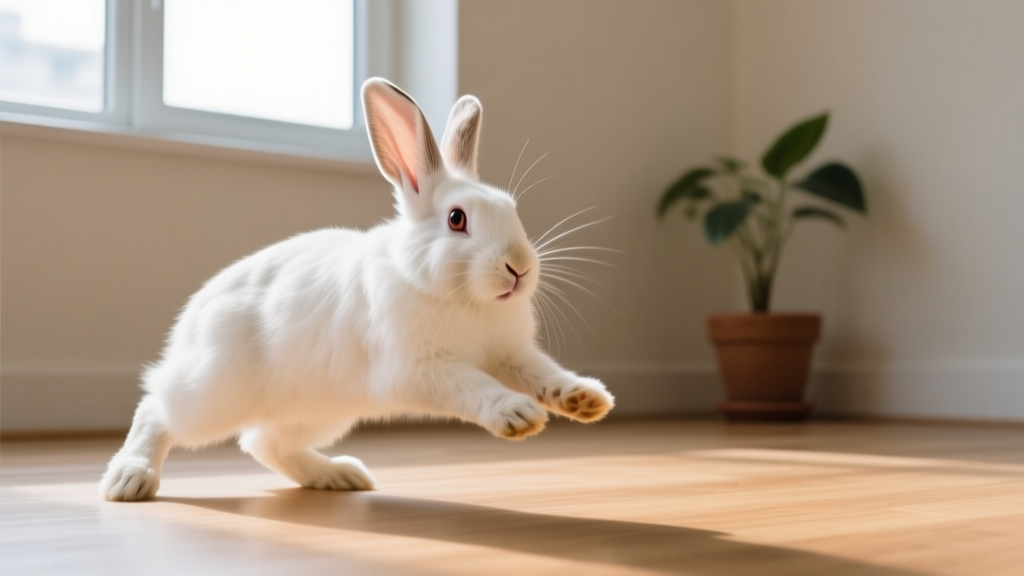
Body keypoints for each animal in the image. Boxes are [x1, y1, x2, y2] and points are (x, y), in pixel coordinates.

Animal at [99, 78, 615, 502]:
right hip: (213, 394)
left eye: (511, 209)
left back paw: (339, 475)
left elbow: (543, 373)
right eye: (456, 219)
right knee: (156, 411)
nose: (520, 268)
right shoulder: (421, 368)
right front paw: (517, 414)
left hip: (320, 411)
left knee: (265, 443)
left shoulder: (510, 354)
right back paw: (129, 479)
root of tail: (187, 327)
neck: (460, 297)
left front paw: (586, 400)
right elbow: (471, 387)